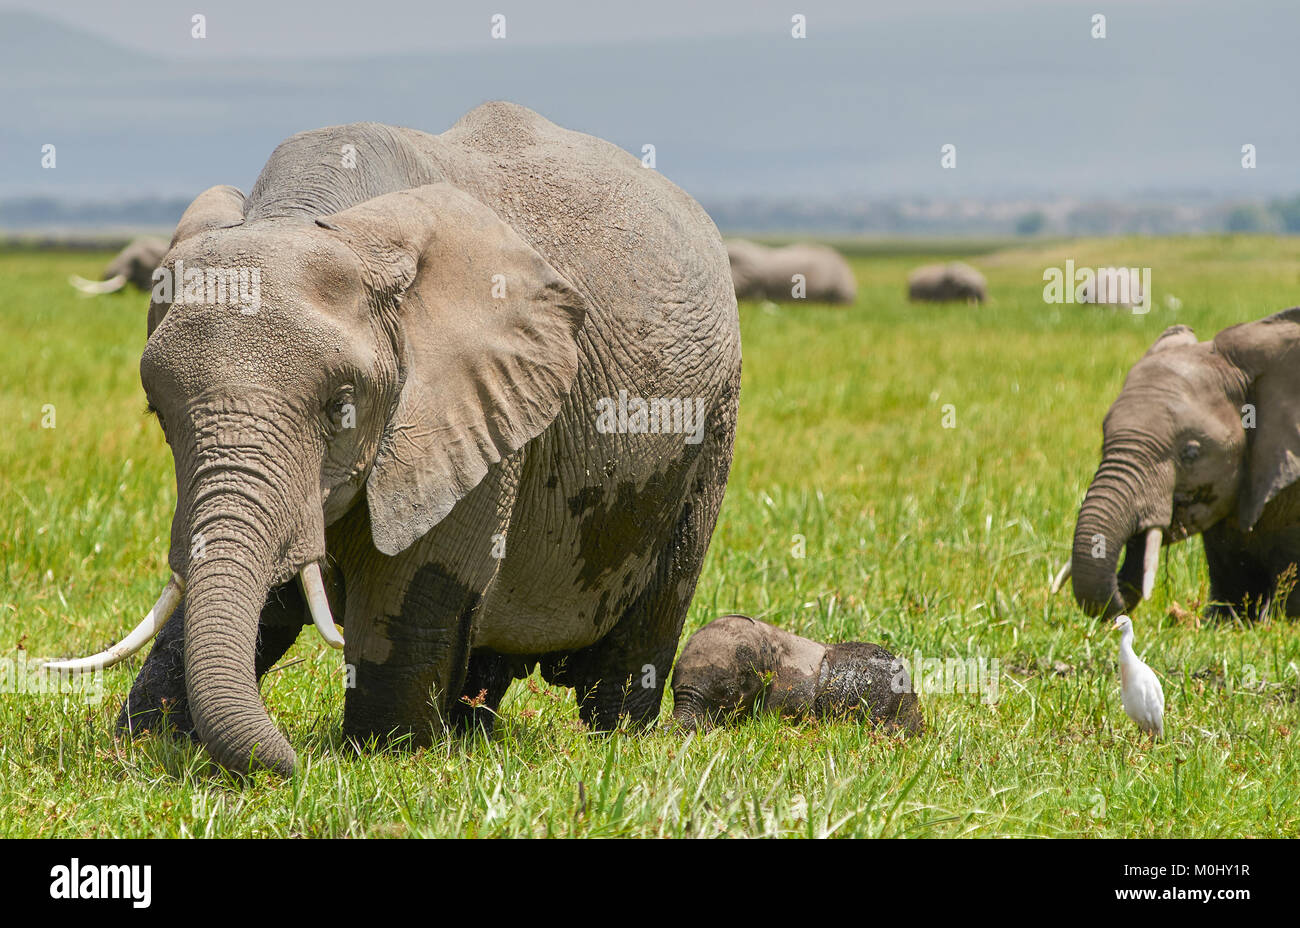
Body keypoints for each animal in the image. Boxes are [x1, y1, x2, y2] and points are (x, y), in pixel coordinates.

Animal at [43, 102, 742, 776]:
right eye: (159, 414)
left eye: (341, 407)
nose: (290, 765)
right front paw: (145, 745)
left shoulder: (478, 405)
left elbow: (407, 586)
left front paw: (385, 756)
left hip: (711, 424)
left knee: (644, 626)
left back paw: (615, 738)